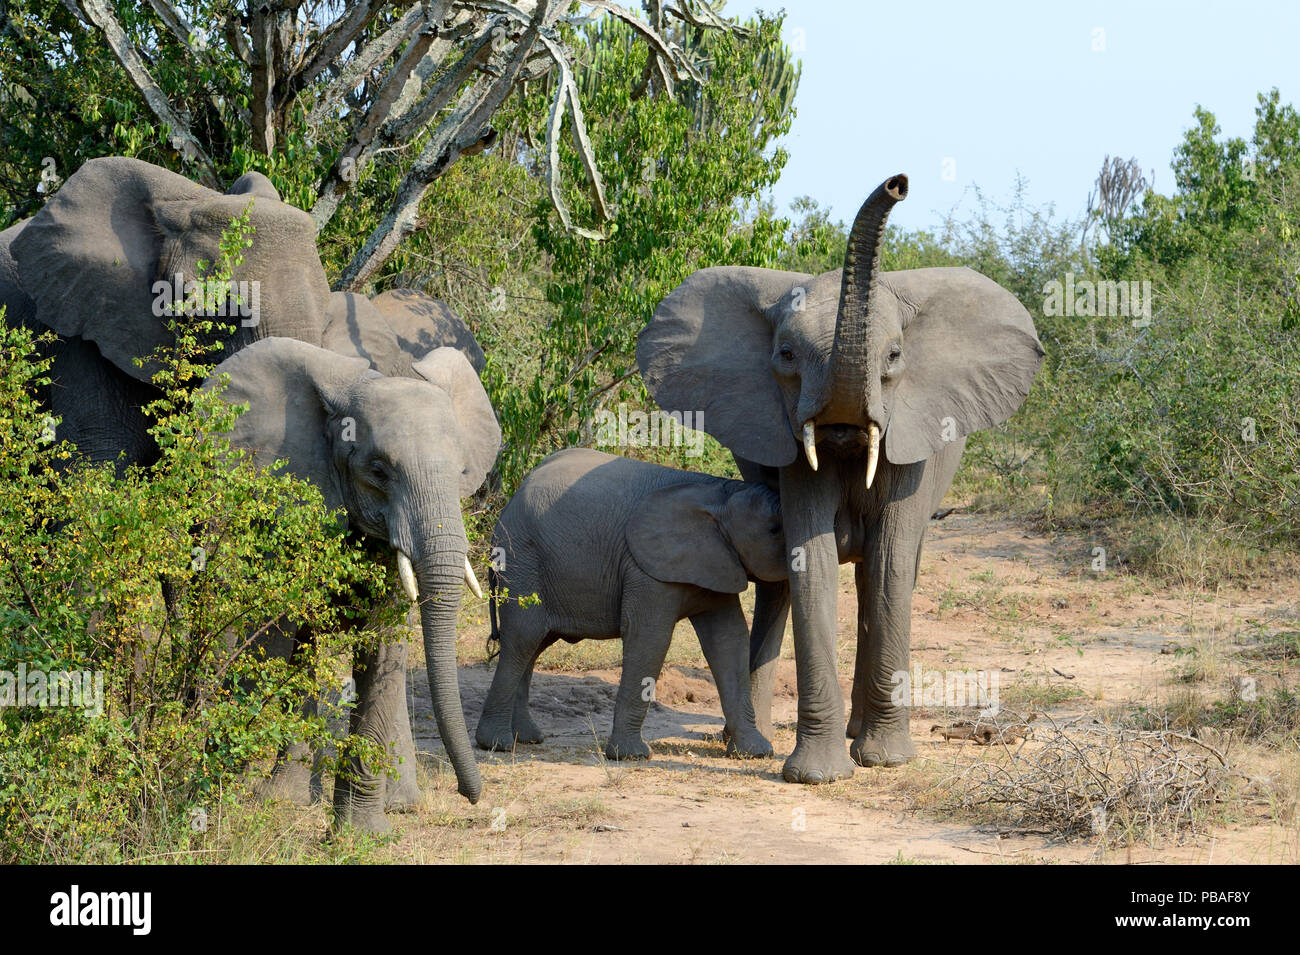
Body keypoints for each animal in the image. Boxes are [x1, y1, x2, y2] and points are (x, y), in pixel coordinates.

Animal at [476, 448, 785, 761]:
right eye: (774, 530)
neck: (722, 491)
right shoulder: (645, 569)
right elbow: (649, 637)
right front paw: (630, 755)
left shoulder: (719, 561)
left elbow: (729, 639)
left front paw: (756, 753)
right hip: (521, 561)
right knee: (523, 638)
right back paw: (497, 744)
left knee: (535, 644)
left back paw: (526, 738)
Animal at [636, 174, 1043, 784]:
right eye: (785, 355)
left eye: (894, 356)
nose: (897, 184)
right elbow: (812, 558)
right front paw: (817, 776)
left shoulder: (913, 439)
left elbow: (890, 561)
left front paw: (884, 760)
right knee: (779, 581)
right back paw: (745, 742)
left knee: (891, 571)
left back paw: (856, 733)